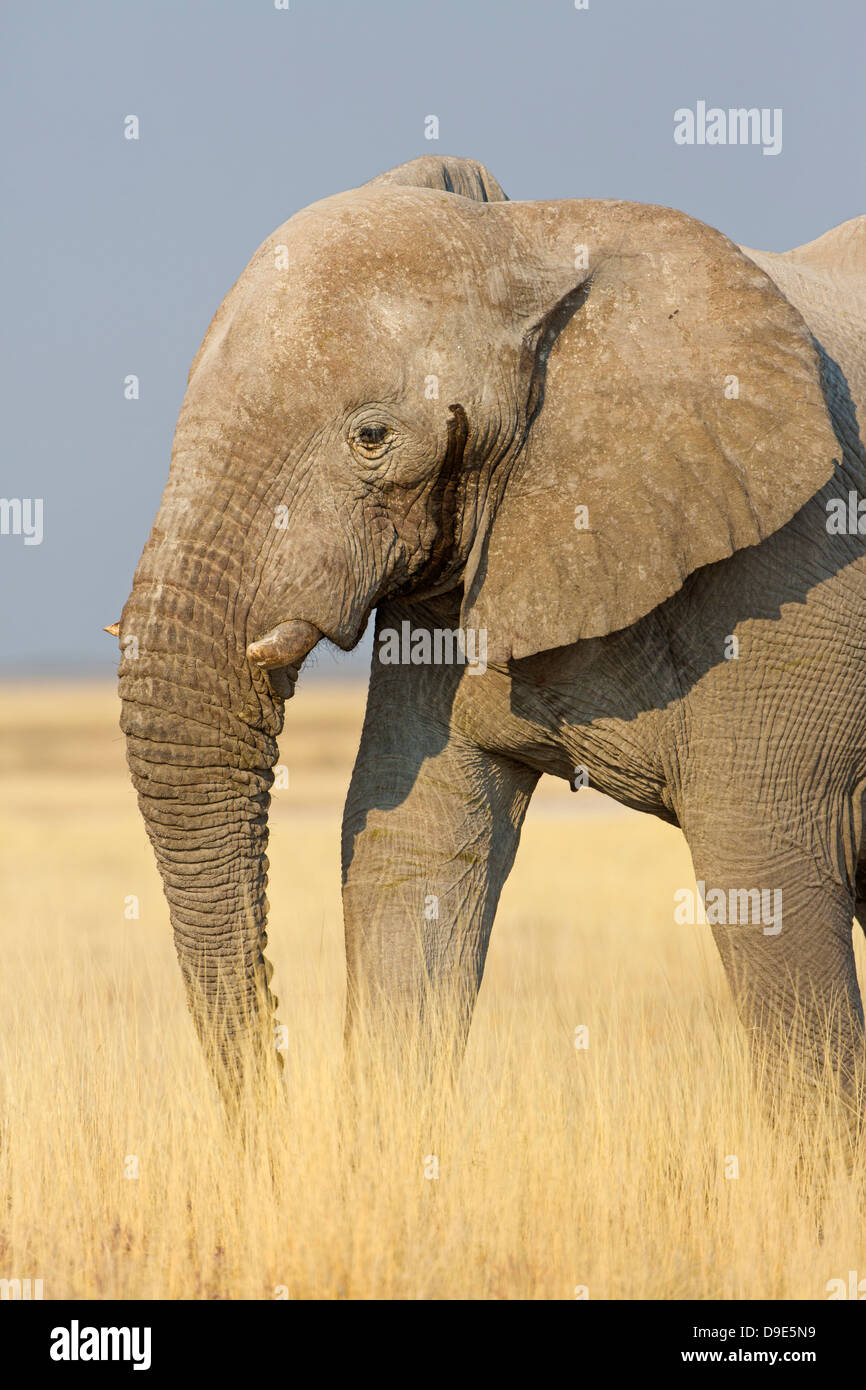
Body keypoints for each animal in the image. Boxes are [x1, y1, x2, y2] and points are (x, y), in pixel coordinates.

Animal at [114, 153, 866, 1128]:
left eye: (373, 437)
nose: (277, 1116)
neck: (533, 245)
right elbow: (412, 847)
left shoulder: (791, 572)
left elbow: (766, 875)